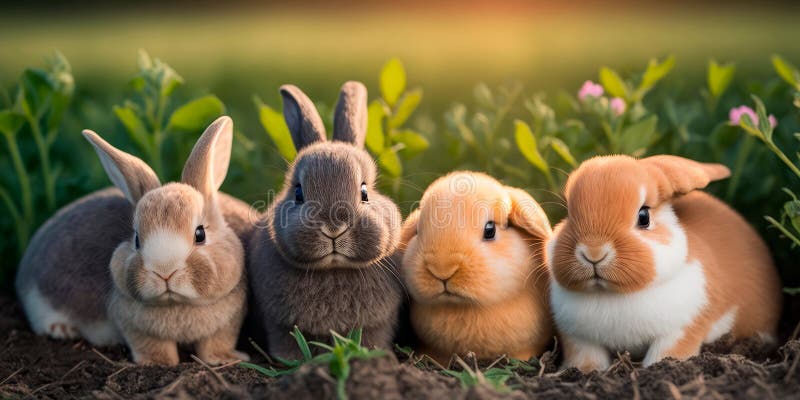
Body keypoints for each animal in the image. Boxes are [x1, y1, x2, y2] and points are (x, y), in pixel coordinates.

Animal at [15, 116, 253, 365]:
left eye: (200, 234)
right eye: (136, 239)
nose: (164, 272)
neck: (177, 304)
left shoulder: (227, 325)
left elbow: (214, 345)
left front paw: (226, 358)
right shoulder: (134, 327)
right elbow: (154, 347)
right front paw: (158, 363)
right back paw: (61, 329)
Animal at [248, 81, 404, 359]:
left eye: (364, 192)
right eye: (298, 193)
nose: (334, 228)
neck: (333, 269)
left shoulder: (378, 324)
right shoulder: (279, 325)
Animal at [546, 155, 782, 372]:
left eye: (644, 217)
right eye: (568, 214)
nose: (593, 252)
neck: (611, 295)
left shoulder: (683, 328)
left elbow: (668, 351)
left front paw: (659, 367)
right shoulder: (578, 338)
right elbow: (586, 357)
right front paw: (585, 371)